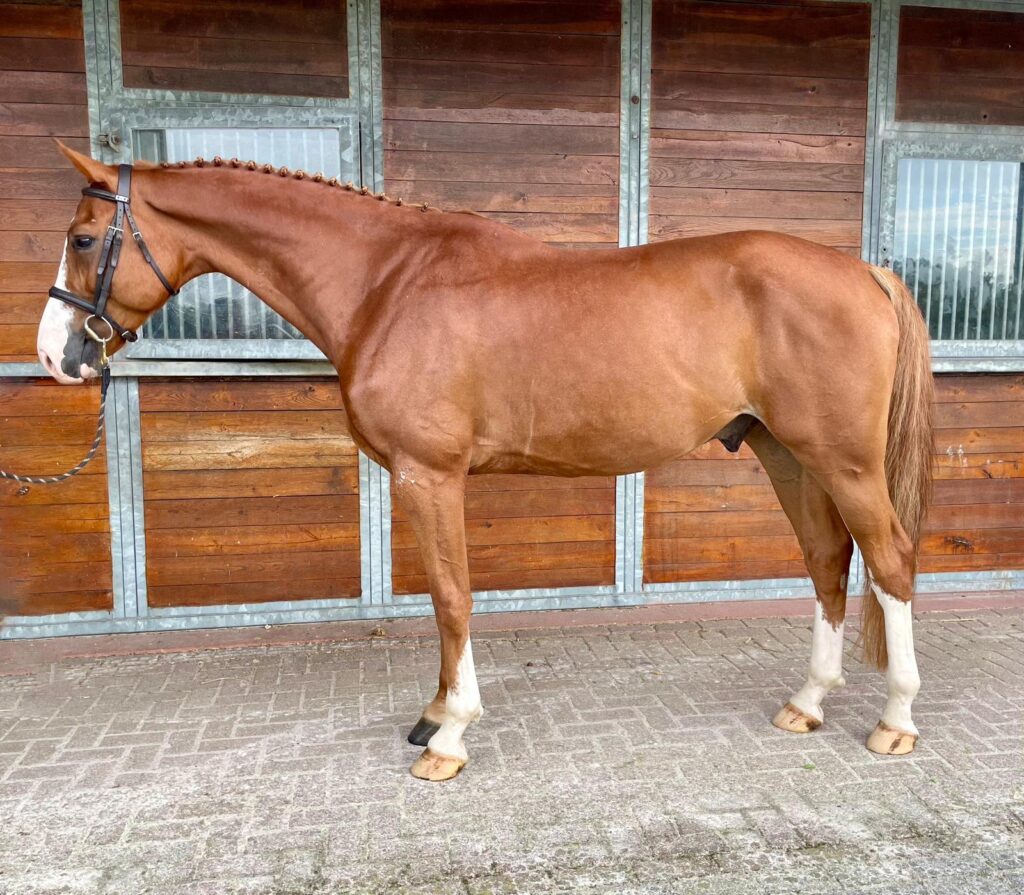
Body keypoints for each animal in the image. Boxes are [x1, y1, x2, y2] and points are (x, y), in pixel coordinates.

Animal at [36, 142, 934, 781]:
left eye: (83, 238)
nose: (56, 357)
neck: (387, 282)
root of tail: (863, 270)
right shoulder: (420, 478)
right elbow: (443, 598)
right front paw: (434, 715)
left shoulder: (429, 473)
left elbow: (451, 596)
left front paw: (450, 737)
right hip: (787, 452)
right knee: (828, 559)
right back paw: (806, 703)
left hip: (844, 462)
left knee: (888, 558)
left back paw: (895, 721)